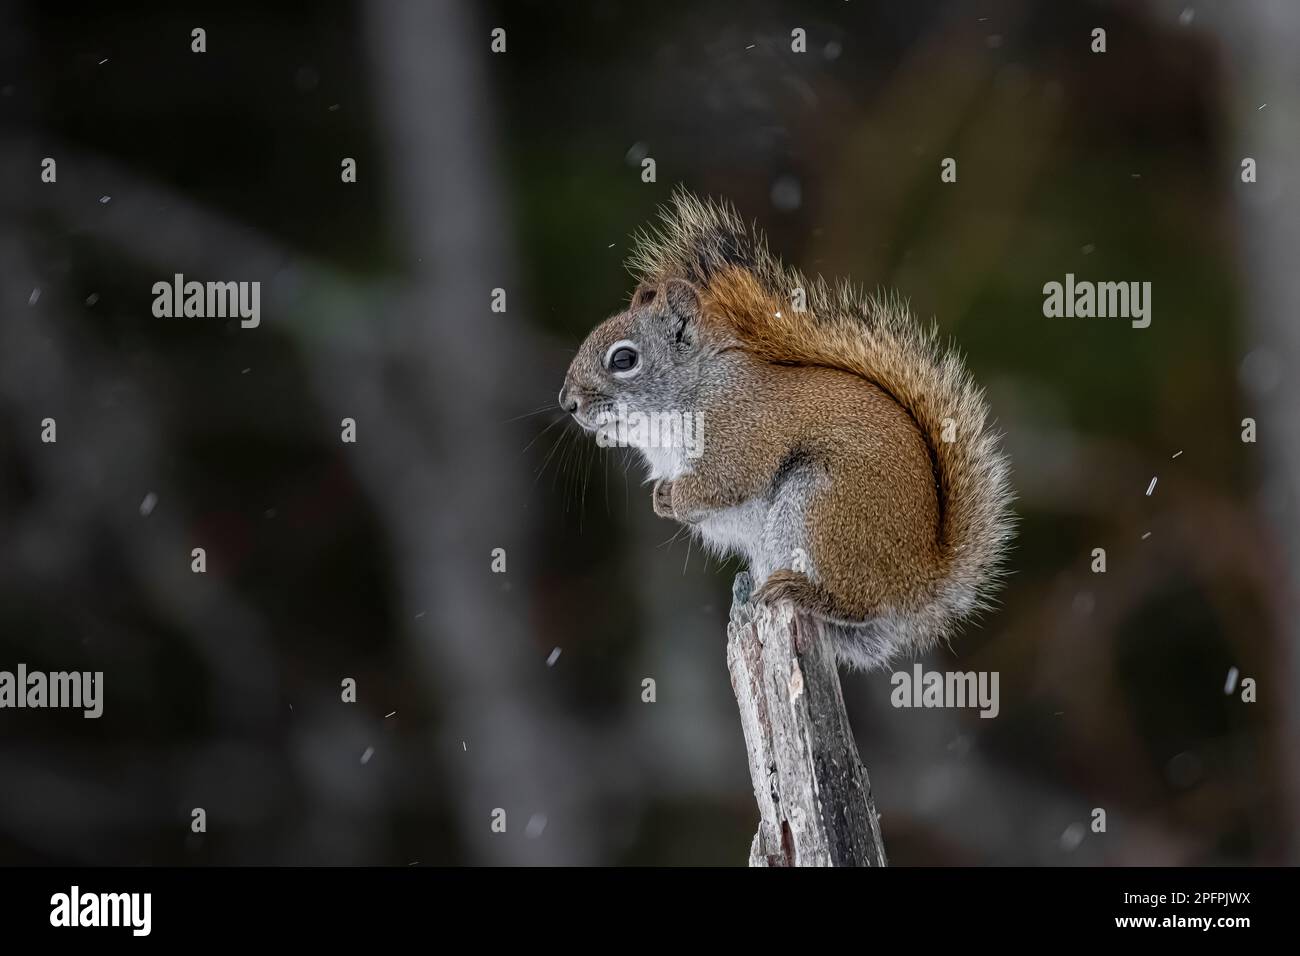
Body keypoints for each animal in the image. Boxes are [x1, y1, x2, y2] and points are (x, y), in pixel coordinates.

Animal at [559, 189, 1014, 670]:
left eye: (624, 359)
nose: (567, 402)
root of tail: (920, 581)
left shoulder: (739, 433)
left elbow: (725, 482)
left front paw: (676, 498)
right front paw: (661, 498)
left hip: (821, 509)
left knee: (856, 602)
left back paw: (801, 591)